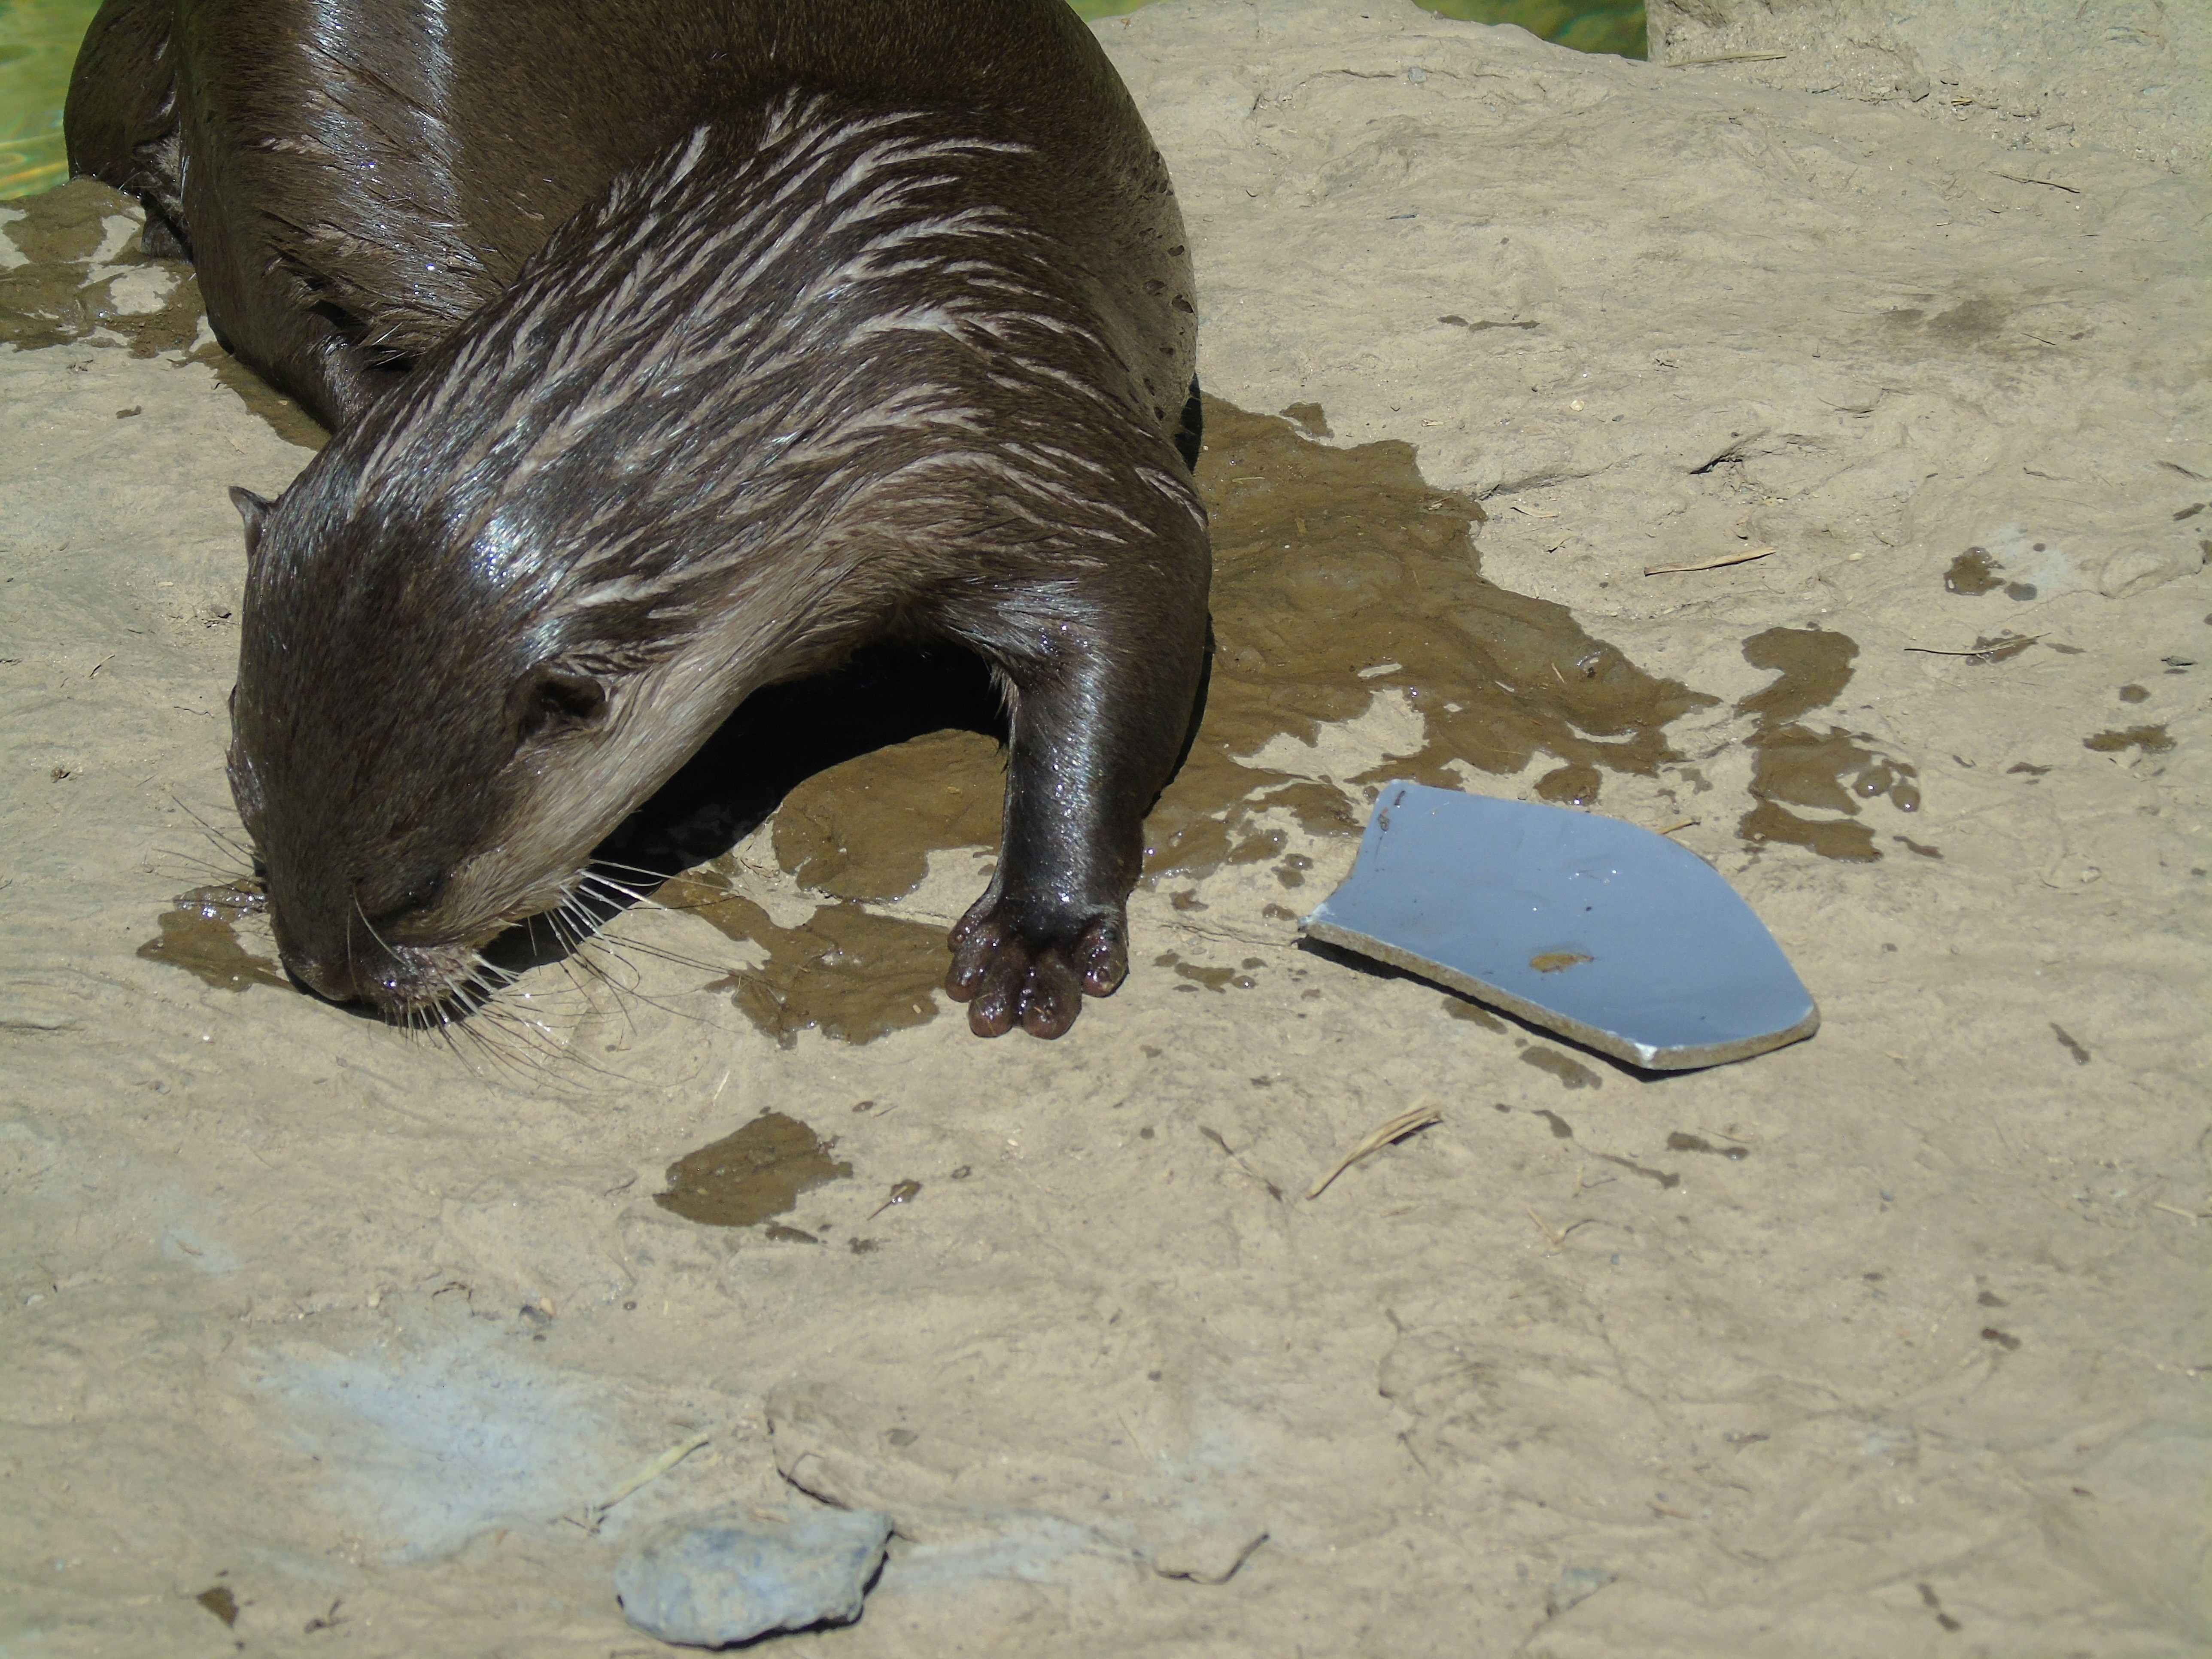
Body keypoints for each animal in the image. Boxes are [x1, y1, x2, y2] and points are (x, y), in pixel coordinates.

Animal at [68, 0, 1210, 1038]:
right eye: (245, 803)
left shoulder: (1041, 430)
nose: (321, 971)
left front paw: (1039, 933)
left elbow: (1139, 601)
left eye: (419, 888)